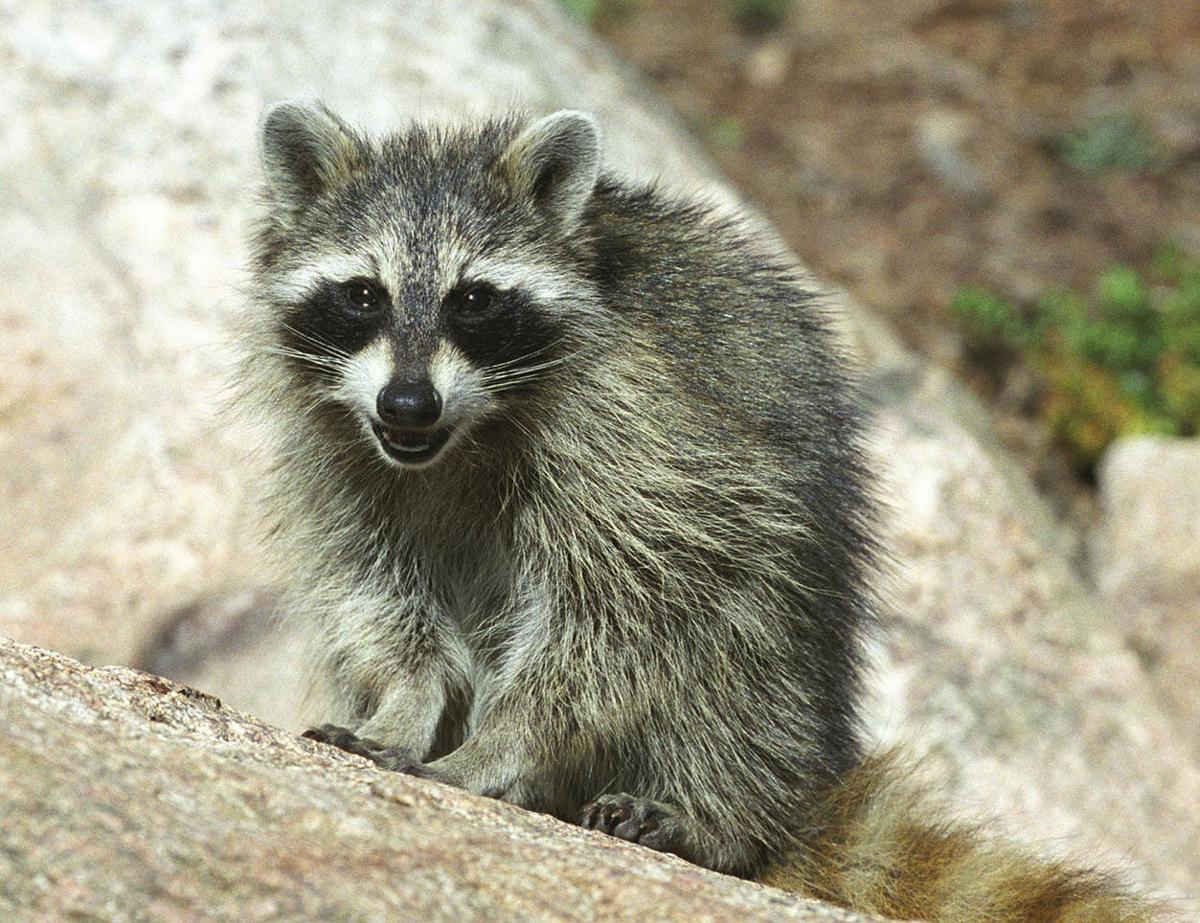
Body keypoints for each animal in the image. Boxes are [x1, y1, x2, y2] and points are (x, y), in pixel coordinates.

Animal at [238, 101, 1156, 921]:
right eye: (364, 294)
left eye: (474, 299)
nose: (407, 402)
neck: (460, 437)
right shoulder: (341, 453)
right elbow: (378, 591)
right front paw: (408, 699)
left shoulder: (640, 442)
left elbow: (612, 624)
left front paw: (498, 742)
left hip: (785, 622)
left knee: (726, 645)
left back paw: (716, 816)